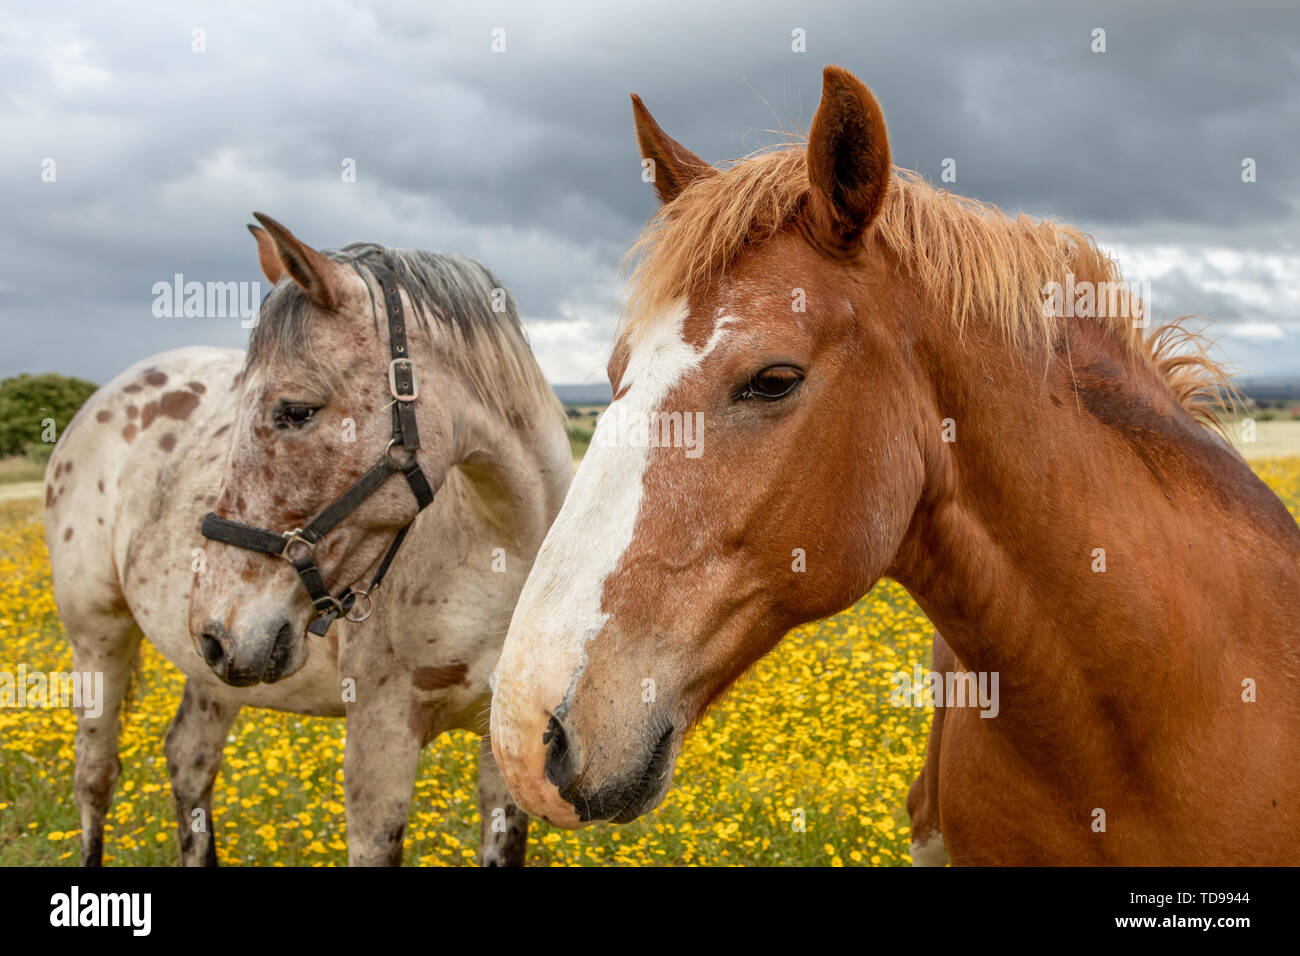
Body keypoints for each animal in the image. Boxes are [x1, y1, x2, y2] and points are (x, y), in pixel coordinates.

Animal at [45, 214, 571, 865]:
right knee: (95, 775)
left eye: (295, 411)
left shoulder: (508, 752)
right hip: (101, 640)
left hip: (211, 674)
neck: (501, 556)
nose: (216, 631)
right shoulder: (379, 742)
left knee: (189, 761)